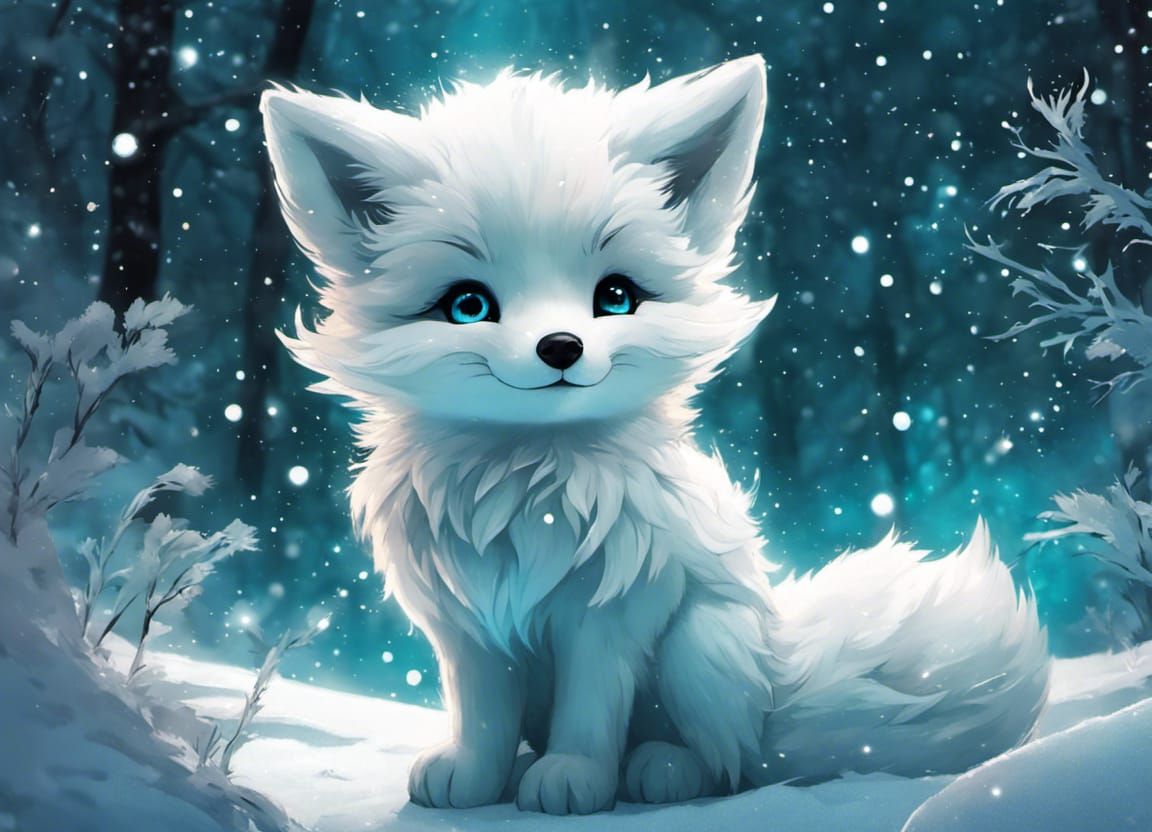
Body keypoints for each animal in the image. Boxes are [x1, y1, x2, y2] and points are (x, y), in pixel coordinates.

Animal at [260, 55, 1050, 816]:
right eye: (468, 306)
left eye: (615, 296)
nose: (561, 346)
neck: (526, 486)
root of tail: (775, 685)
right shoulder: (468, 626)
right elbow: (481, 716)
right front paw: (474, 780)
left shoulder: (612, 611)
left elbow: (590, 714)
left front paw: (574, 781)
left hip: (702, 649)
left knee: (725, 763)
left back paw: (659, 770)